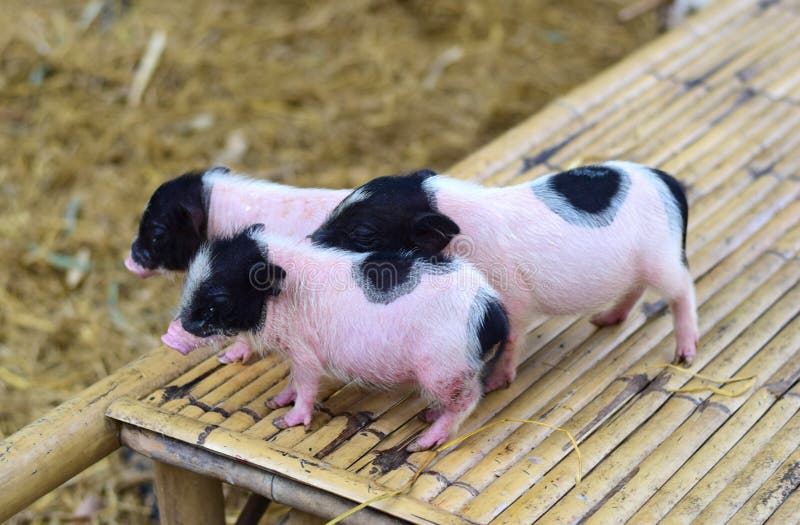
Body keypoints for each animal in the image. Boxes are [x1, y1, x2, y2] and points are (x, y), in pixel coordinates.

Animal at [162, 224, 509, 451]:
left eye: (218, 300)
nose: (170, 337)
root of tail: (492, 307)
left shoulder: (304, 351)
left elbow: (306, 385)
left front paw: (285, 421)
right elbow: (292, 381)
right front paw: (273, 402)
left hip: (444, 368)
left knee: (469, 400)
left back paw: (422, 442)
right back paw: (430, 414)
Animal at [310, 161, 699, 391]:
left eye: (363, 232)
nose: (311, 239)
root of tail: (668, 182)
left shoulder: (513, 295)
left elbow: (511, 336)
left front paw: (495, 382)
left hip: (663, 258)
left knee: (683, 290)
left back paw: (684, 355)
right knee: (636, 290)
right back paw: (604, 320)